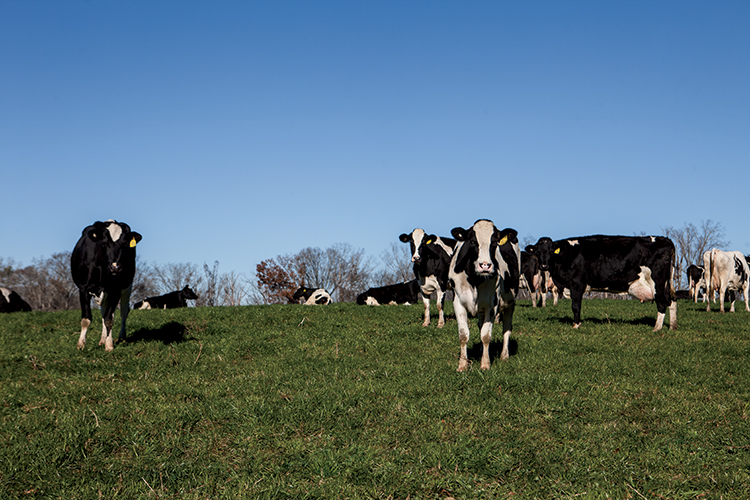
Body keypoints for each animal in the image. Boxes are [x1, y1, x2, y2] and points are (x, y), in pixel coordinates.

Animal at [71, 220, 142, 351]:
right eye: (104, 244)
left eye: (125, 244)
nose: (115, 267)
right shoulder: (83, 288)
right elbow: (86, 319)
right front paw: (81, 344)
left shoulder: (116, 289)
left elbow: (109, 319)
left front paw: (109, 345)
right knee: (104, 313)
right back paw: (103, 339)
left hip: (127, 287)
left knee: (123, 312)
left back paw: (120, 337)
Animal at [448, 220, 520, 371]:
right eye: (472, 242)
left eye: (494, 243)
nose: (485, 266)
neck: (475, 280)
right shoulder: (458, 302)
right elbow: (463, 335)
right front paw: (462, 365)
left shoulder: (492, 305)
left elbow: (486, 335)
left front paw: (485, 364)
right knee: (480, 325)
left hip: (511, 302)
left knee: (507, 328)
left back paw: (504, 355)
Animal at [525, 235, 677, 331]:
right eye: (538, 252)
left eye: (551, 251)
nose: (544, 266)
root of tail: (666, 240)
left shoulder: (577, 284)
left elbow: (576, 306)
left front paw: (576, 325)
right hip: (666, 283)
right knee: (672, 301)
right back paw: (672, 327)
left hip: (657, 282)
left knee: (662, 303)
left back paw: (657, 328)